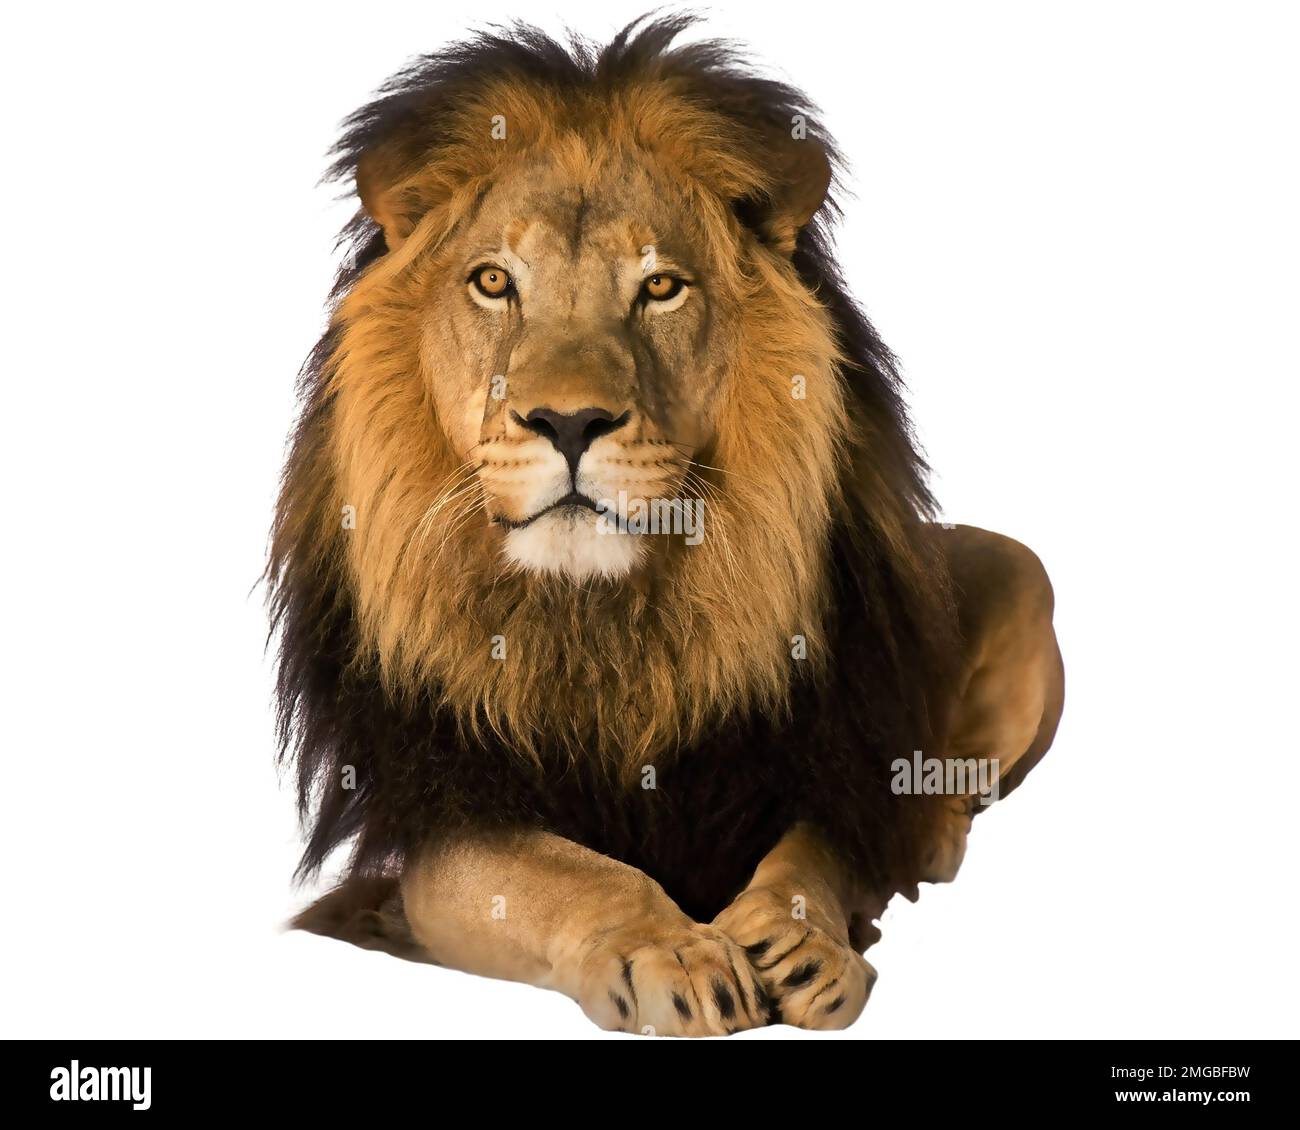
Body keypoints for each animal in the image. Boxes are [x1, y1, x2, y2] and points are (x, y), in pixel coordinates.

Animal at [270, 14, 1065, 1036]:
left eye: (660, 288)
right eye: (493, 282)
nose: (569, 422)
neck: (605, 619)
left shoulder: (826, 757)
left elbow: (816, 852)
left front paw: (801, 940)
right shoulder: (443, 822)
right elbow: (570, 876)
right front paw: (675, 952)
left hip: (1018, 566)